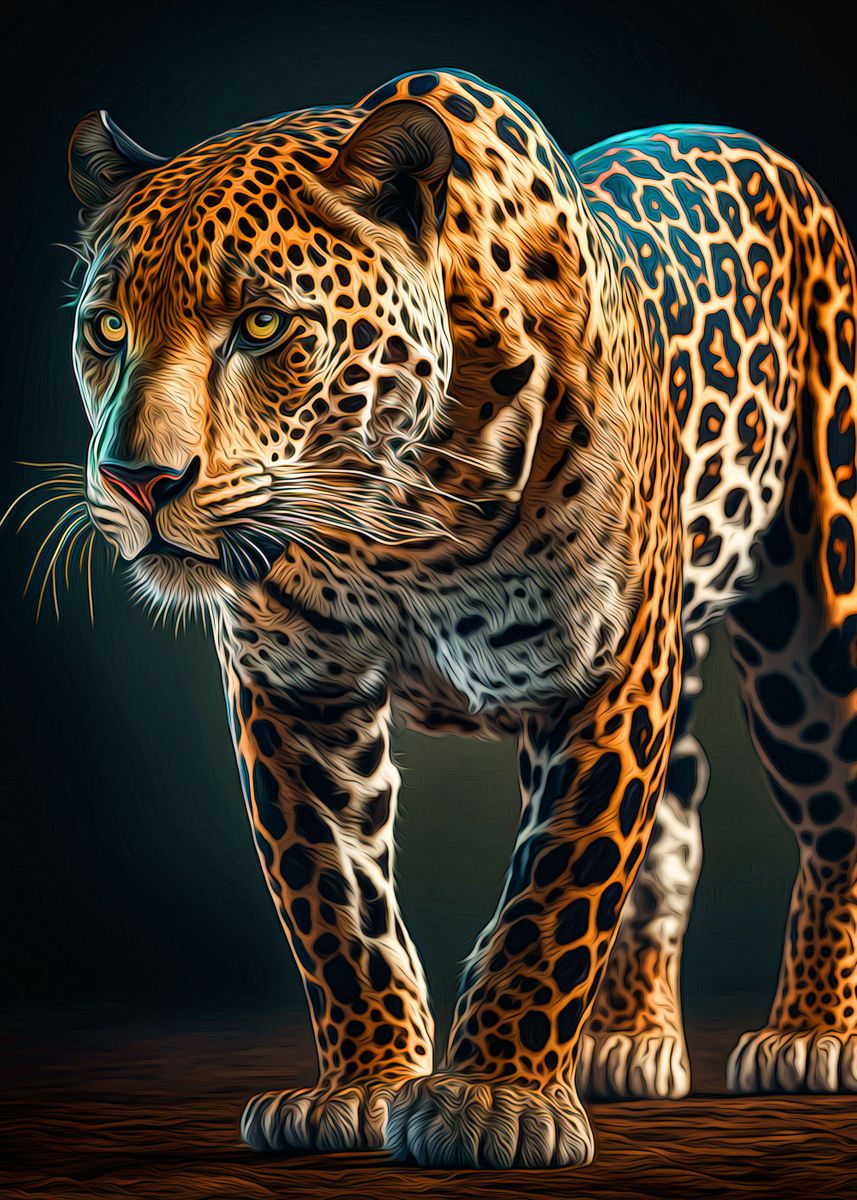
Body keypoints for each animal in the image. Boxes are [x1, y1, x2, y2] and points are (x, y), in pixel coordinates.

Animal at [54, 68, 857, 1168]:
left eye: (260, 326)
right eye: (106, 330)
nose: (137, 480)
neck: (395, 525)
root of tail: (757, 148)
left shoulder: (608, 672)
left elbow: (558, 887)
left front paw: (496, 1100)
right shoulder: (294, 691)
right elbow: (334, 901)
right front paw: (361, 1086)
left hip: (810, 625)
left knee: (830, 811)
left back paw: (814, 1032)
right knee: (674, 830)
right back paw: (628, 1039)